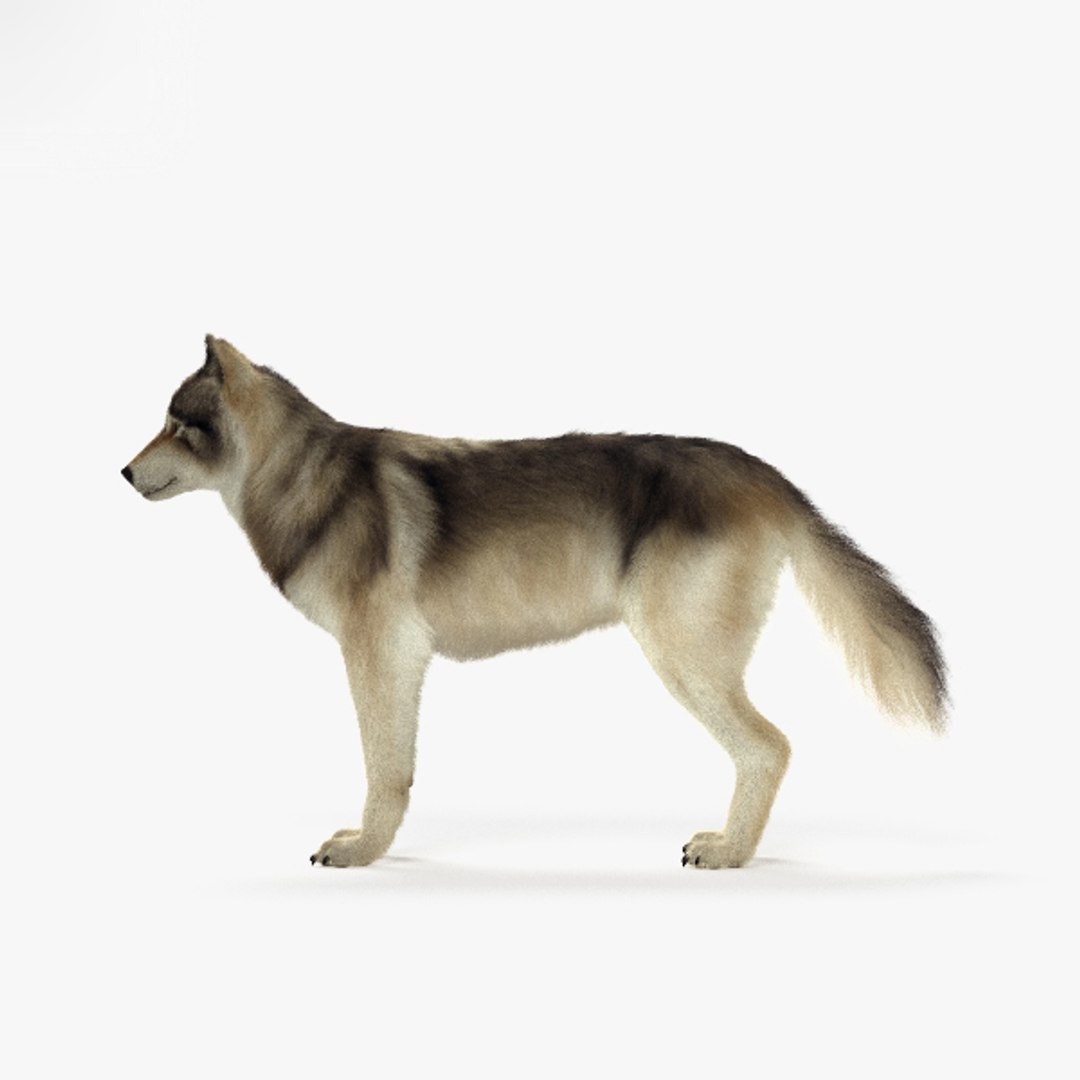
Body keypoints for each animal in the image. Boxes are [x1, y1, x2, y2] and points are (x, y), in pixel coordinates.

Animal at [122, 336, 947, 869]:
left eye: (176, 423)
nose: (123, 472)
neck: (302, 479)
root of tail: (769, 475)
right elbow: (395, 772)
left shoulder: (380, 655)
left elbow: (385, 774)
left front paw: (363, 851)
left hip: (683, 659)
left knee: (769, 747)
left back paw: (731, 853)